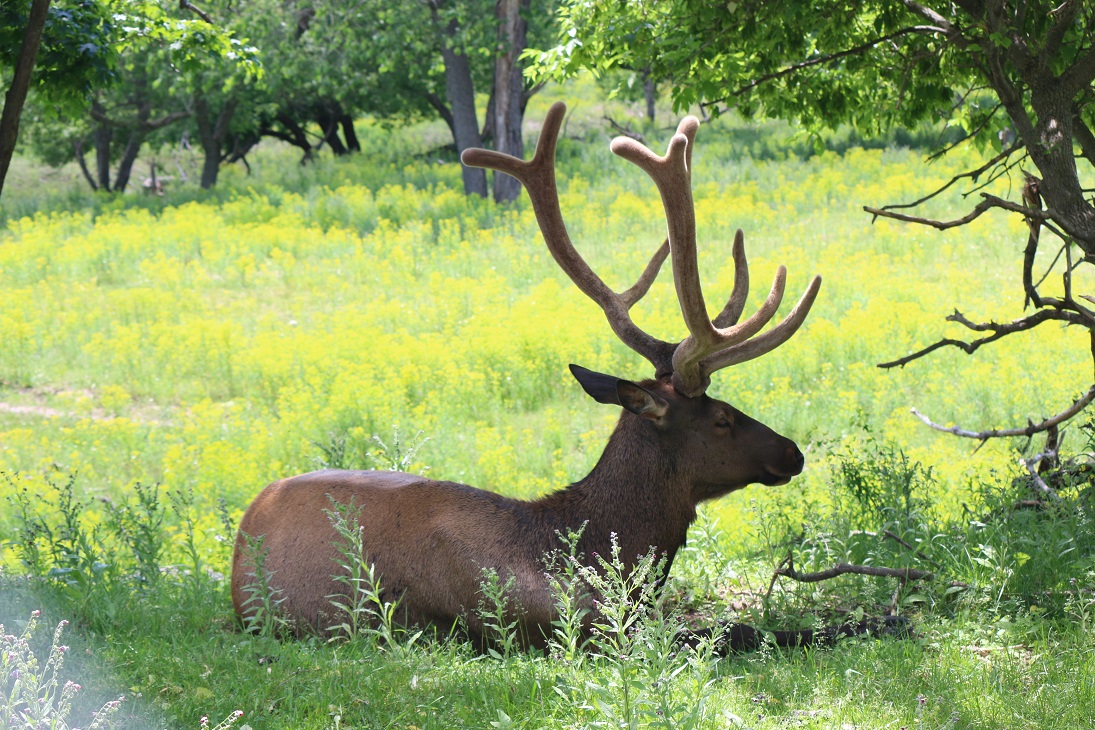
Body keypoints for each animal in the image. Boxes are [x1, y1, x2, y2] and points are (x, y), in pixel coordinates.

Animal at [231, 102, 899, 653]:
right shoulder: (569, 630)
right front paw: (876, 620)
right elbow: (737, 632)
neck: (592, 555)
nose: (793, 452)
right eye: (722, 418)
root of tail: (242, 536)